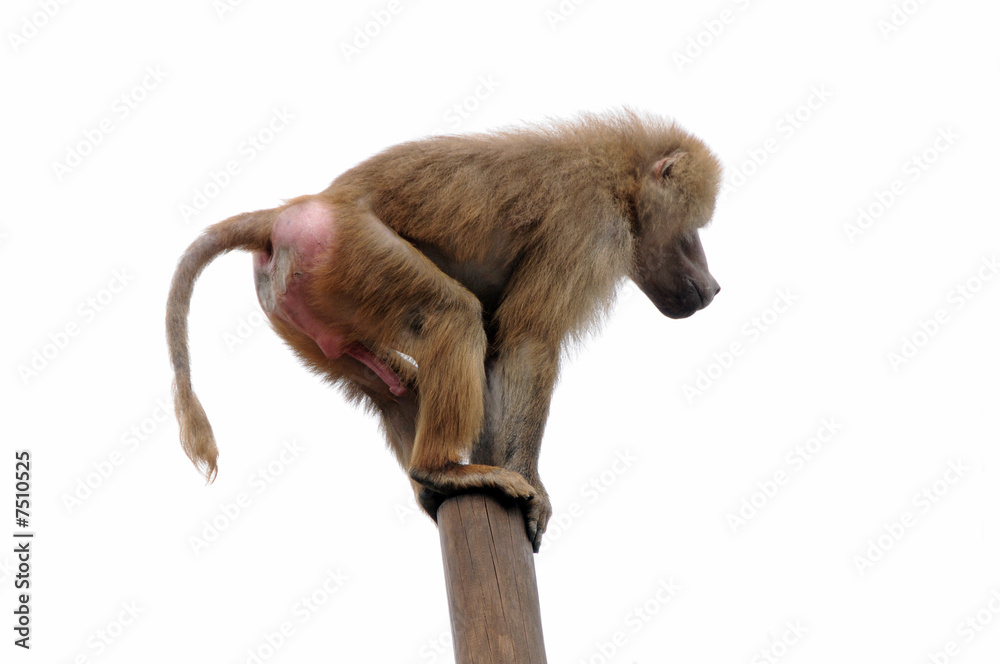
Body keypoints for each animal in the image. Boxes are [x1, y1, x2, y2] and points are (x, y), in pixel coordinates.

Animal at [166, 109, 722, 552]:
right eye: (691, 233)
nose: (714, 287)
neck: (618, 175)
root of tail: (291, 210)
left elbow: (501, 355)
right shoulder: (590, 223)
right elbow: (529, 341)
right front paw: (532, 486)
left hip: (307, 309)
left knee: (391, 388)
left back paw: (433, 486)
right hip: (354, 253)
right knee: (450, 314)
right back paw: (443, 470)